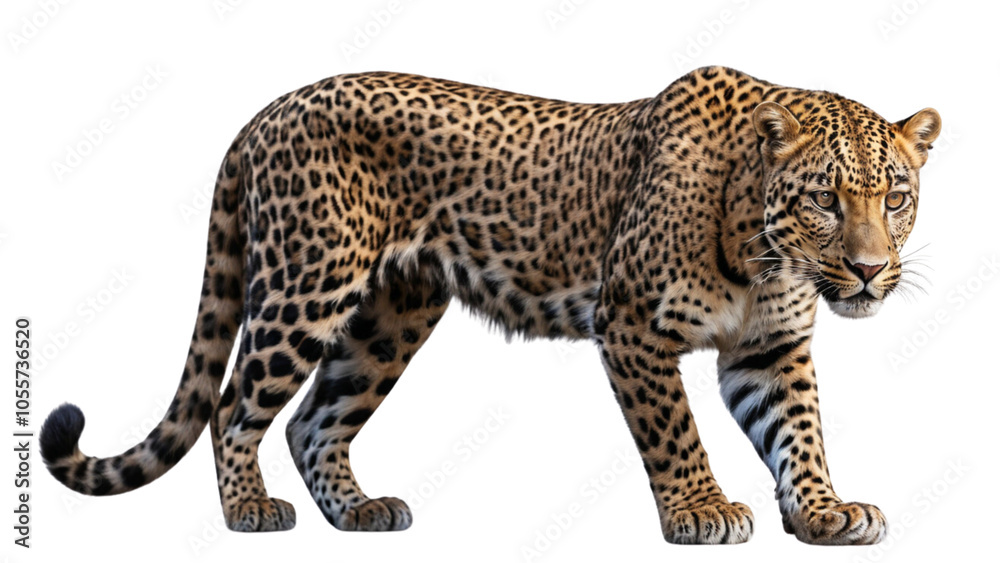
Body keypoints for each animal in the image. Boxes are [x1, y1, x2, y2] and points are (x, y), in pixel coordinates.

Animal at [40, 65, 940, 545]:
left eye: (895, 196)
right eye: (825, 198)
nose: (868, 272)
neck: (766, 253)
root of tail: (264, 113)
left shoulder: (768, 349)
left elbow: (801, 433)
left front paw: (824, 510)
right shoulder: (630, 327)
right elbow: (675, 433)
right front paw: (702, 510)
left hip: (390, 316)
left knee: (312, 420)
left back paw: (360, 510)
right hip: (308, 283)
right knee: (233, 403)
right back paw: (250, 512)